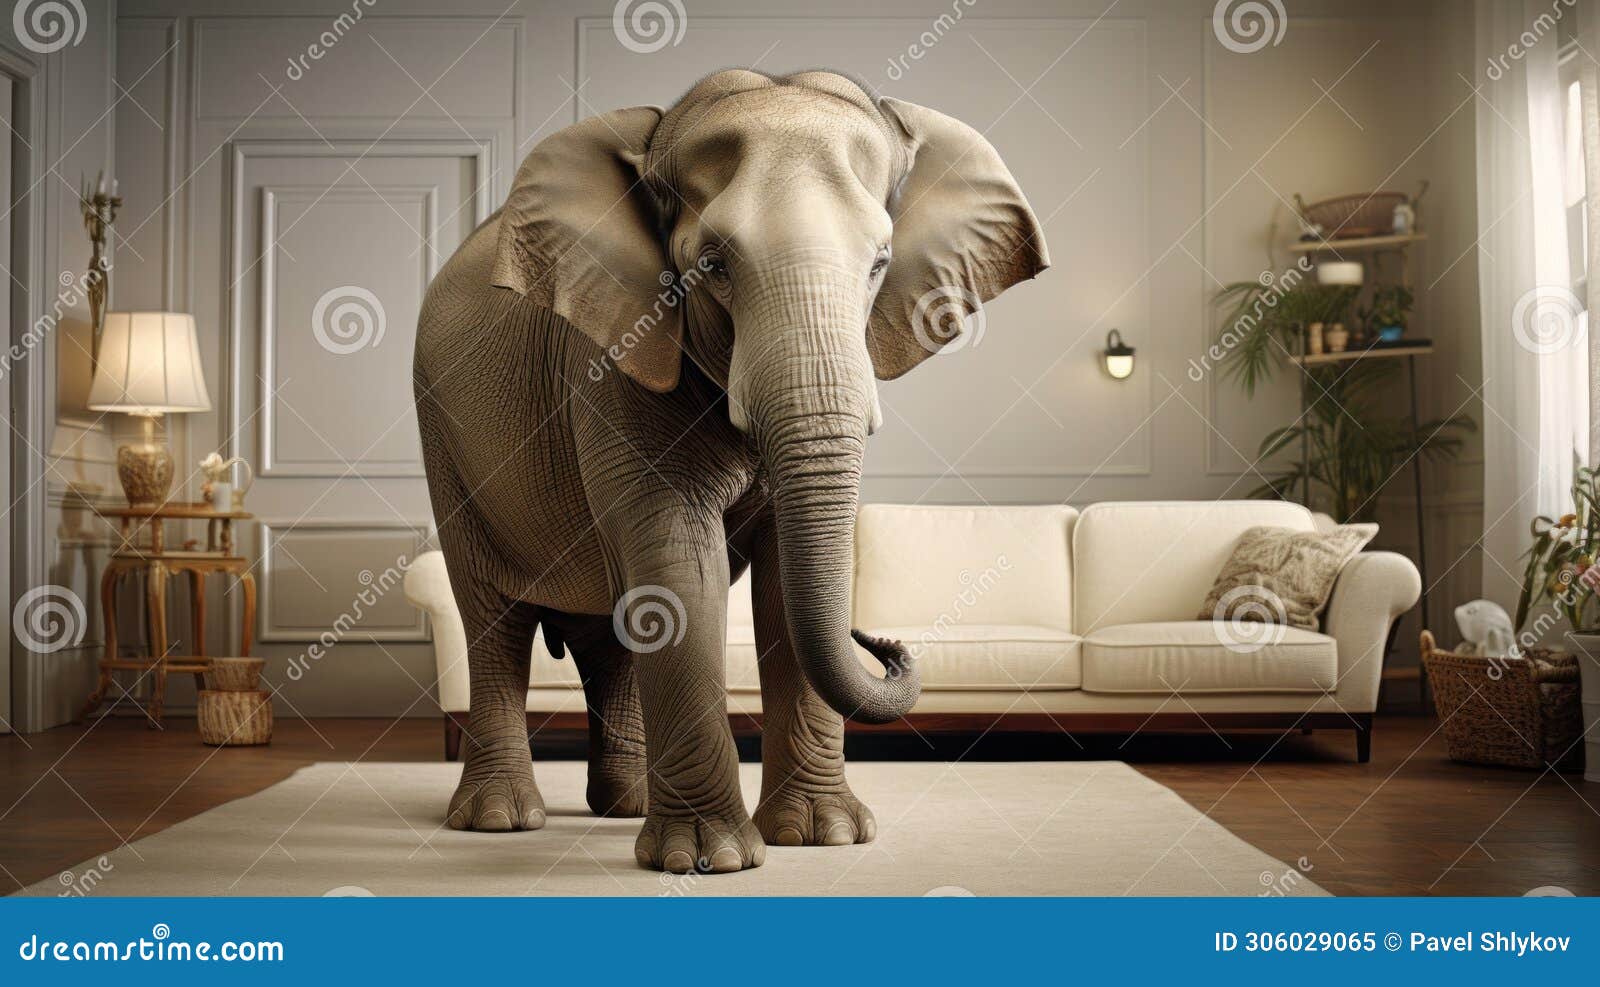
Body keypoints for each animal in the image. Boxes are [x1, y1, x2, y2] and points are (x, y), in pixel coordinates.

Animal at [413, 68, 1047, 873]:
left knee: (611, 632)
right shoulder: (615, 353)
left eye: (879, 264)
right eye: (711, 266)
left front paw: (825, 838)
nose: (881, 640)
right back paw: (500, 819)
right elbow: (682, 567)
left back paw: (626, 807)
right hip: (444, 441)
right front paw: (706, 859)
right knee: (493, 619)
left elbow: (781, 581)